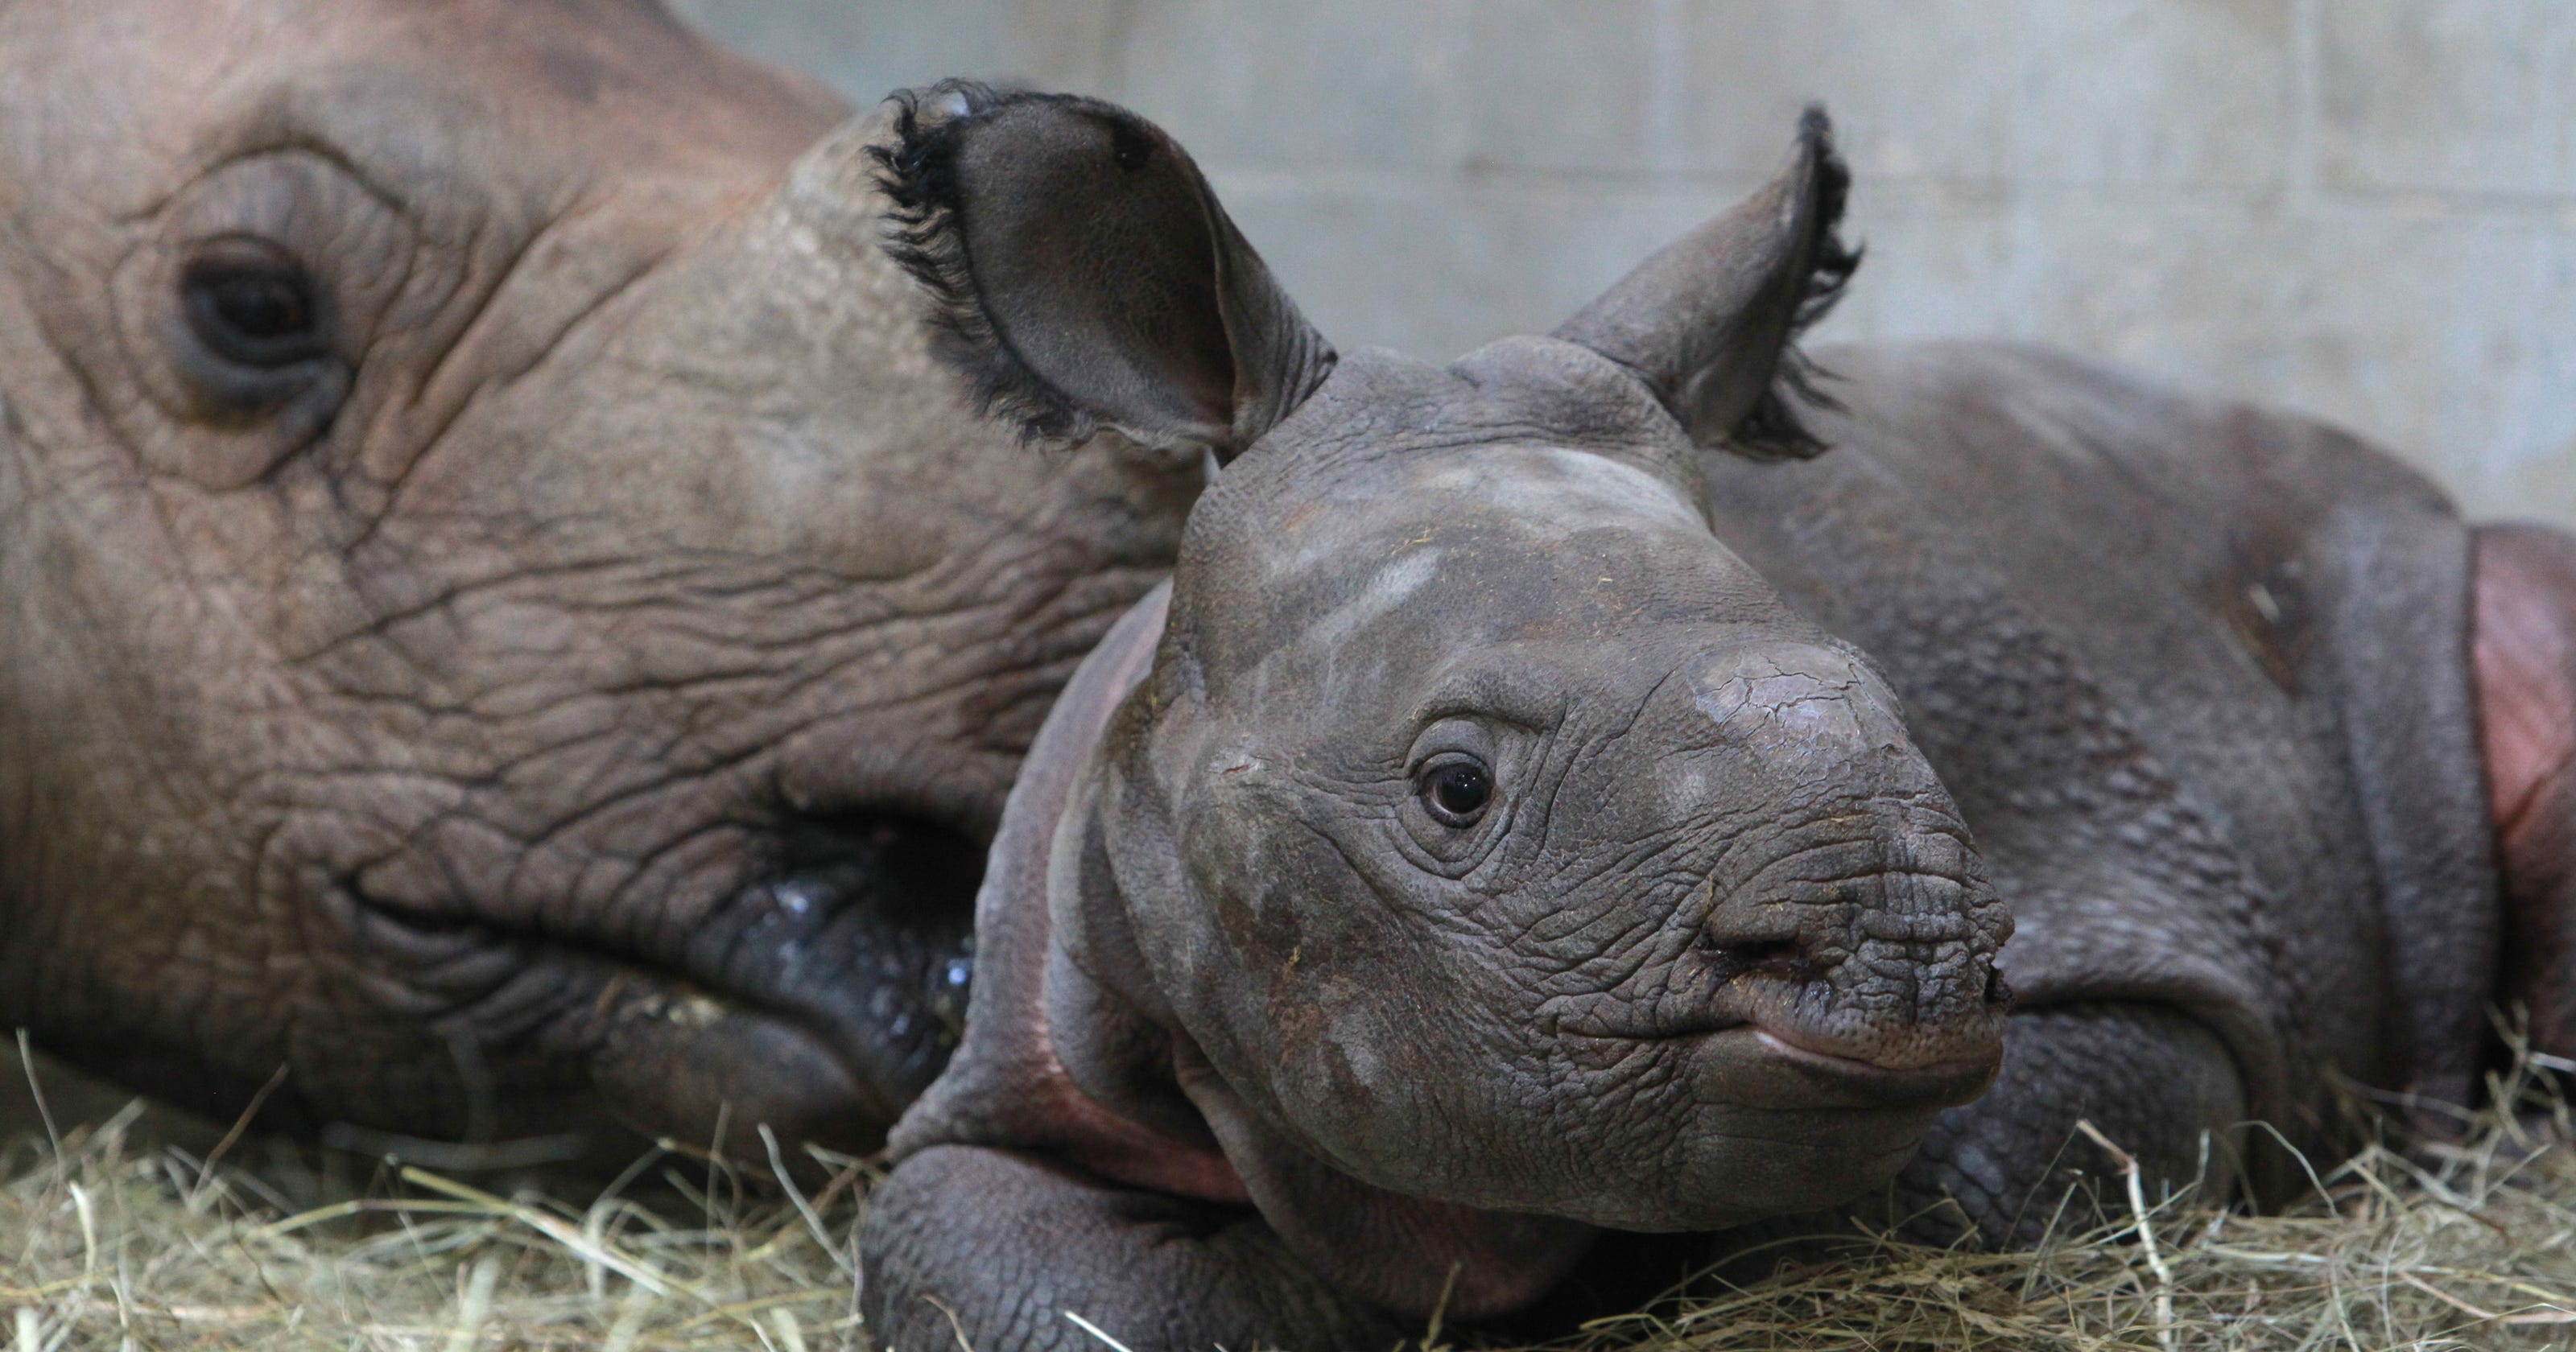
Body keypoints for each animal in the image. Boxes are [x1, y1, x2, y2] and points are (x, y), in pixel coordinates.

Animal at [854, 86, 2576, 1350]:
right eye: (1455, 788)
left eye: (1896, 699)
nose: (1900, 961)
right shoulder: (1017, 1072)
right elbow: (1013, 1276)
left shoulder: (2153, 949)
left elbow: (1954, 1175)